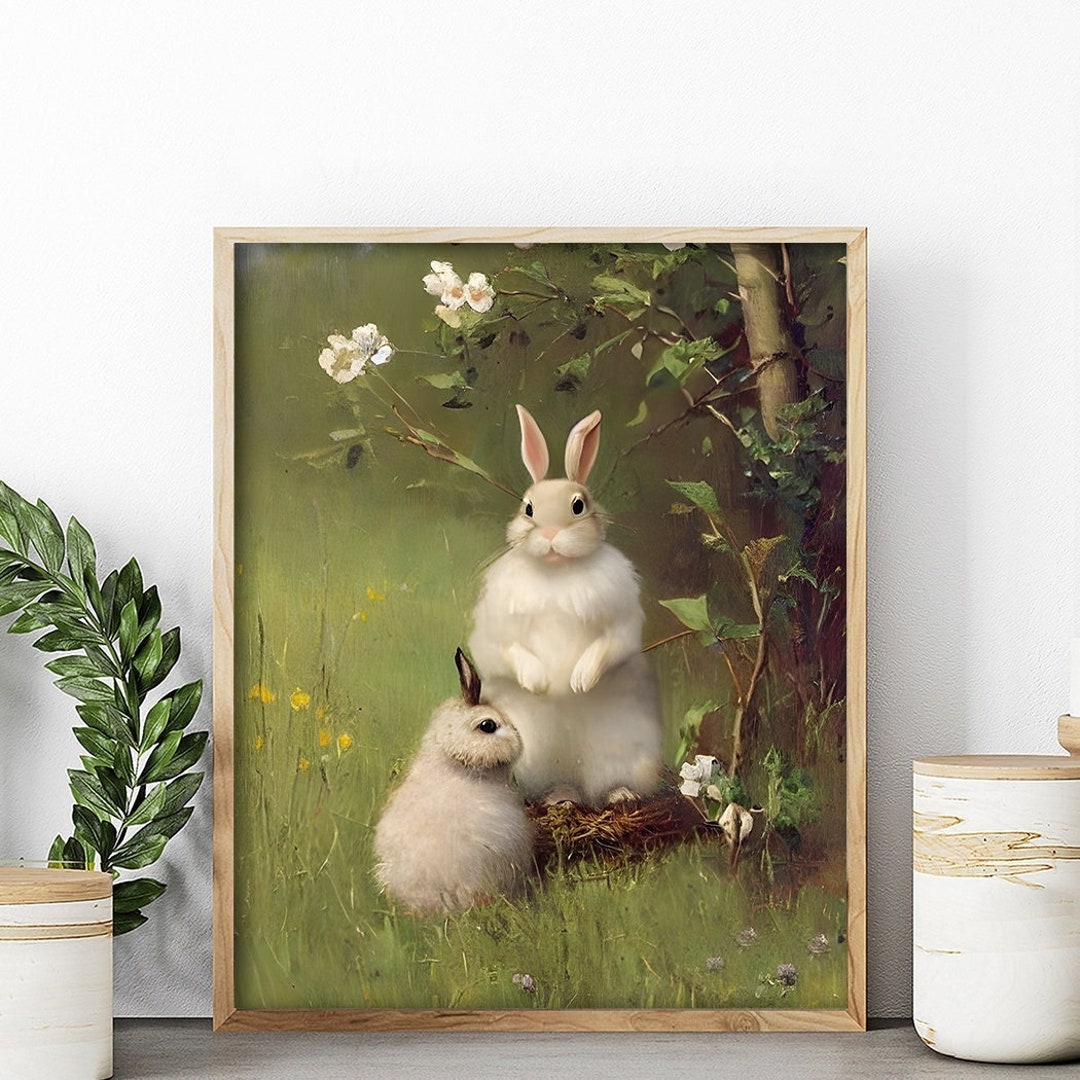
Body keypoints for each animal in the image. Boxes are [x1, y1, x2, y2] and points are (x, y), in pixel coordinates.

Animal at [468, 405, 663, 807]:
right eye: (528, 508)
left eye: (578, 505)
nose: (550, 534)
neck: (556, 573)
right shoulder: (494, 633)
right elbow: (505, 650)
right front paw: (541, 682)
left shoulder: (621, 622)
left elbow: (609, 645)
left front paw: (579, 681)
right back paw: (562, 798)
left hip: (624, 753)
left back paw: (619, 796)